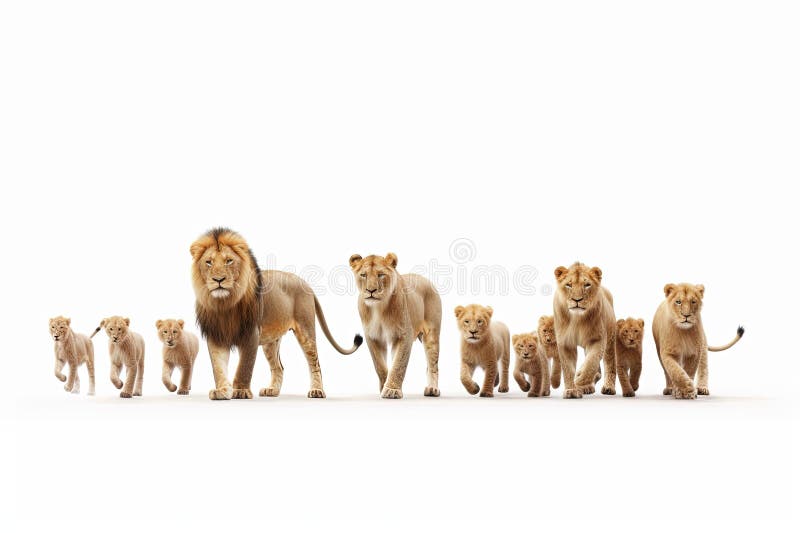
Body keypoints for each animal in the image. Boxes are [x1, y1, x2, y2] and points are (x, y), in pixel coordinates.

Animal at [191, 228, 362, 400]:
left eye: (229, 261)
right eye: (209, 262)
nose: (218, 279)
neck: (224, 303)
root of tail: (306, 284)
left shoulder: (251, 334)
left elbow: (244, 366)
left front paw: (240, 391)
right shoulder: (216, 334)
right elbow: (218, 367)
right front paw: (221, 391)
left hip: (306, 331)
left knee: (315, 363)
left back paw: (317, 391)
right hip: (271, 341)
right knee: (278, 366)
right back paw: (272, 390)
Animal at [349, 253, 441, 399]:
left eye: (381, 275)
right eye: (363, 275)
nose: (371, 290)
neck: (378, 308)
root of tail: (424, 278)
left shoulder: (403, 335)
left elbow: (398, 364)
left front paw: (392, 390)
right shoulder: (373, 338)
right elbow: (380, 366)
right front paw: (384, 387)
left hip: (431, 334)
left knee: (433, 365)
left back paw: (432, 389)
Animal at [552, 262, 617, 398]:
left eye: (587, 285)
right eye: (569, 284)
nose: (577, 300)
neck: (577, 318)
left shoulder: (598, 339)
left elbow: (591, 364)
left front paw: (579, 383)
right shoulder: (565, 342)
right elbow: (568, 369)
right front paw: (571, 390)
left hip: (610, 339)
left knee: (609, 363)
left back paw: (608, 388)